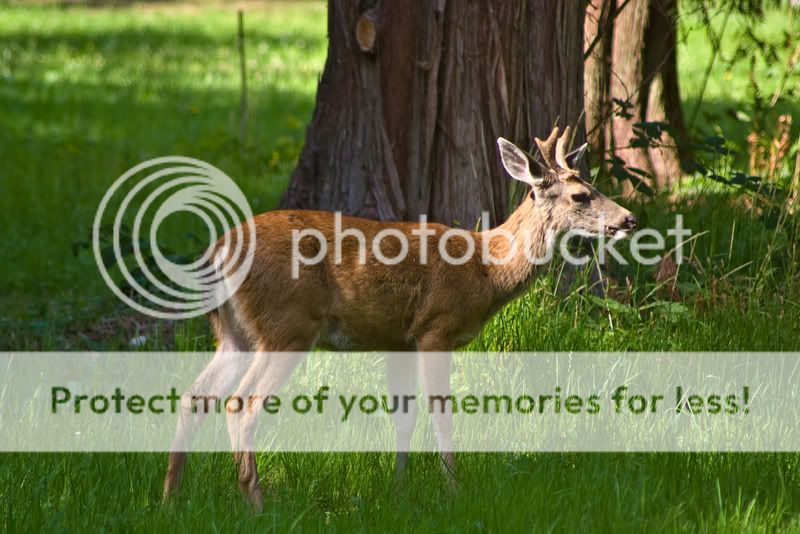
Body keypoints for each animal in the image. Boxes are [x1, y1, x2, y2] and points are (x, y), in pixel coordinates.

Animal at [162, 126, 637, 511]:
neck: (486, 270)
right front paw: (453, 489)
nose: (630, 219)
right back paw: (257, 502)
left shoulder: (398, 341)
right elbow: (441, 411)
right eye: (581, 196)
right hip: (288, 323)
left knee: (193, 397)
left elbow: (403, 415)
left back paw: (171, 497)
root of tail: (217, 251)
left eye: (591, 185)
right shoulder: (434, 328)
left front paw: (399, 488)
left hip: (234, 333)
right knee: (241, 404)